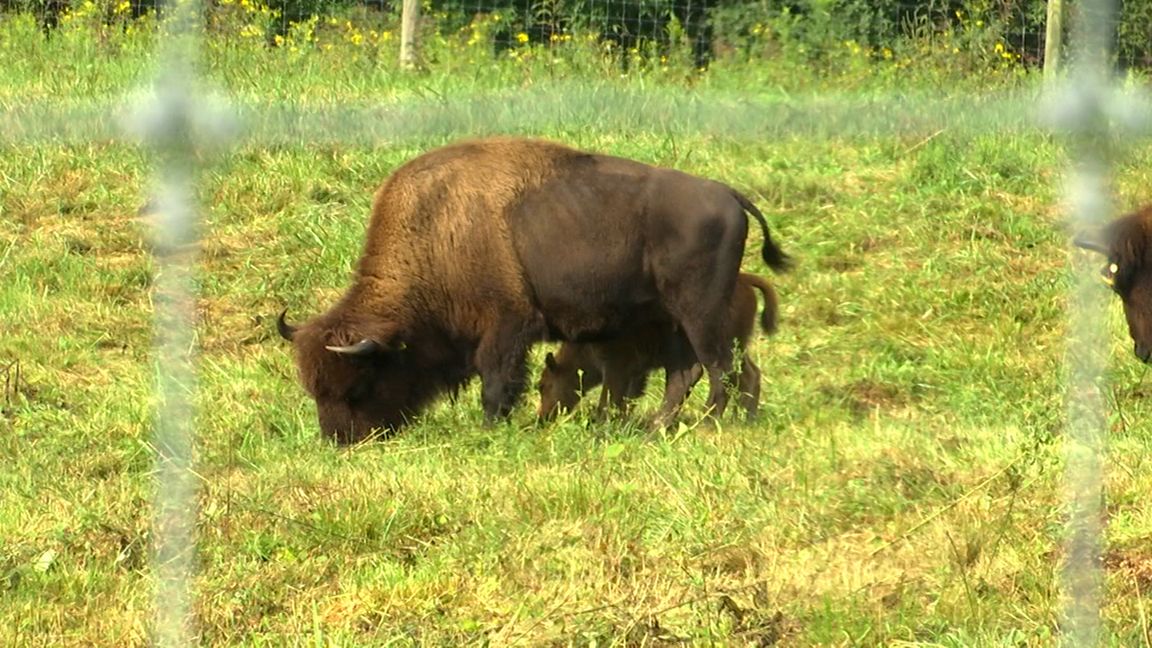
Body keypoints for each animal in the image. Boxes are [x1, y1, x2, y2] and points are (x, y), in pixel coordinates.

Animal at [536, 271, 780, 421]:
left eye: (543, 385)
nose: (542, 418)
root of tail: (745, 280)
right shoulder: (637, 371)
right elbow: (629, 397)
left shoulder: (617, 367)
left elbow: (611, 397)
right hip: (739, 346)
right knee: (750, 374)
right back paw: (745, 418)